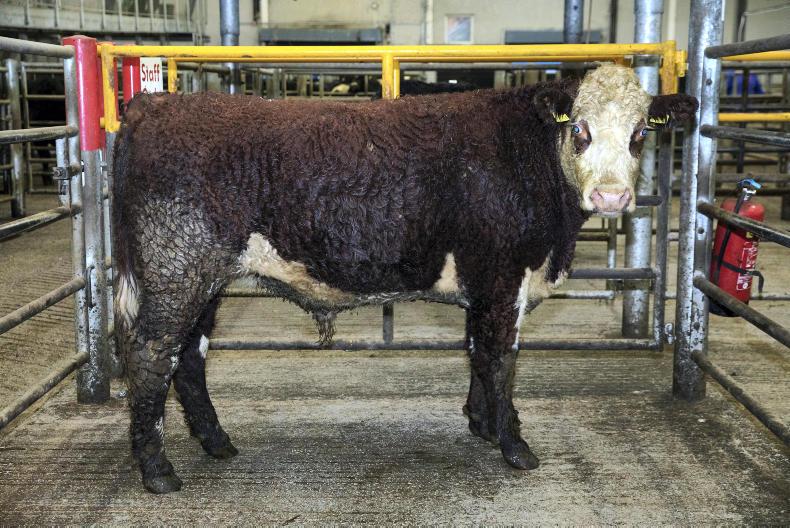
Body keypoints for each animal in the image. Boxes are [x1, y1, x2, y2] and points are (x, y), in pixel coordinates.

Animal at [112, 64, 697, 493]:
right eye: (579, 129)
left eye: (640, 133)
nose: (612, 197)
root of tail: (155, 104)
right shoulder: (505, 275)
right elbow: (503, 358)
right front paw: (514, 445)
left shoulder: (483, 283)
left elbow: (477, 351)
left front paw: (481, 423)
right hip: (177, 270)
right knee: (151, 355)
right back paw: (158, 470)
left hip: (204, 279)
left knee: (190, 357)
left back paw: (216, 442)